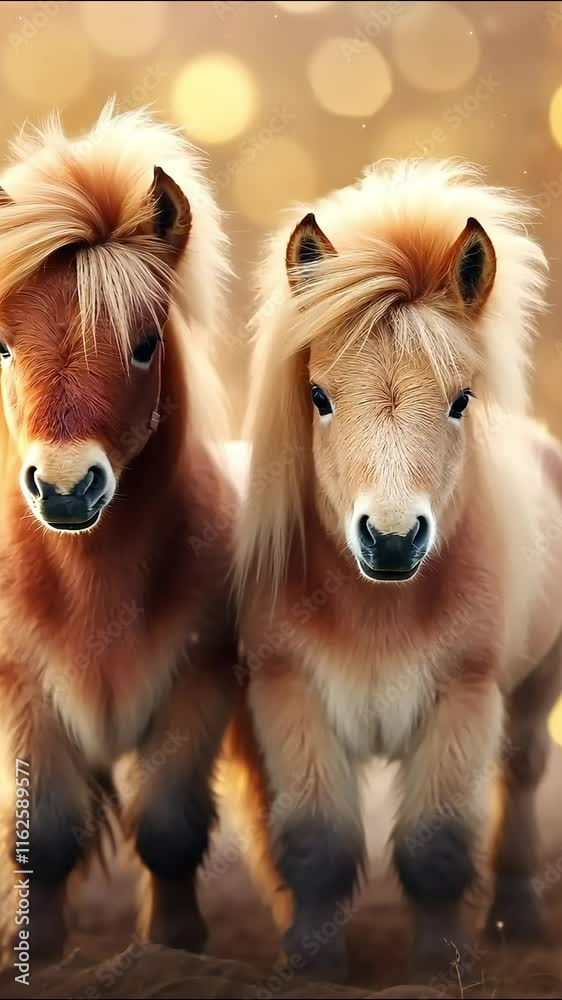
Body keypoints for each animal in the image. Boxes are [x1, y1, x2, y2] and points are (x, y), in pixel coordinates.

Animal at [0, 102, 239, 962]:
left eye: (144, 343)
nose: (68, 489)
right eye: (3, 345)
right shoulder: (28, 693)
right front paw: (39, 949)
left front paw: (175, 946)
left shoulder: (198, 684)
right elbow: (44, 835)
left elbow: (169, 828)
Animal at [225, 159, 562, 975]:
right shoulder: (291, 695)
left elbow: (434, 847)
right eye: (318, 396)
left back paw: (517, 917)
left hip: (535, 688)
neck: (378, 607)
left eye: (460, 399)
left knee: (524, 774)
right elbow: (317, 844)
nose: (392, 539)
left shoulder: (462, 700)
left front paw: (442, 964)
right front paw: (312, 965)